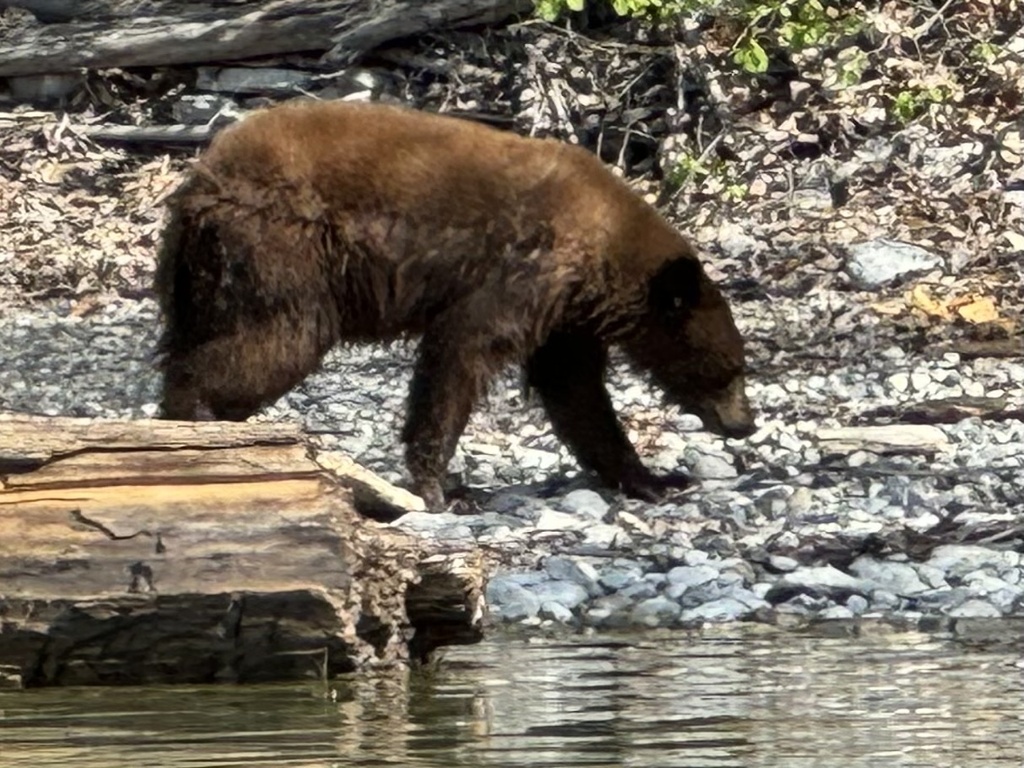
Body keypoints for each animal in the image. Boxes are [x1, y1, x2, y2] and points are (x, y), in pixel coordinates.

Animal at [154, 98, 755, 512]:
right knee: (278, 338)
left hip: (199, 276)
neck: (604, 248)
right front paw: (439, 486)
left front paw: (653, 479)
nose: (744, 425)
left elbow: (576, 391)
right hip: (281, 249)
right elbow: (463, 351)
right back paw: (198, 424)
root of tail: (200, 180)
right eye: (731, 369)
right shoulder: (525, 270)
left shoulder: (564, 315)